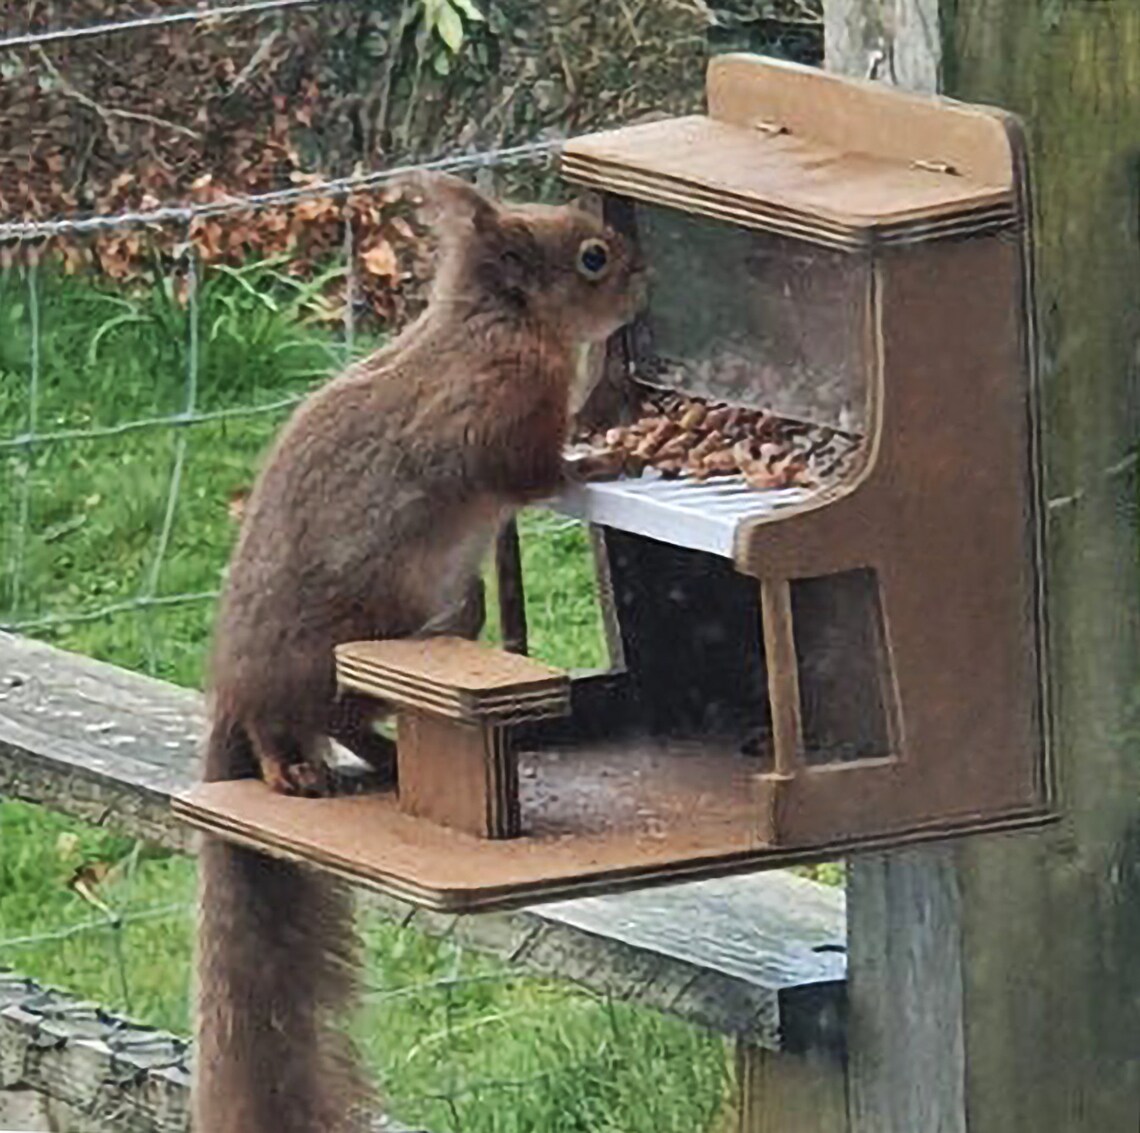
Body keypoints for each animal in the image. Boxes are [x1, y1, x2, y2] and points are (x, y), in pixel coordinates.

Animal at [192, 171, 645, 1133]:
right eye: (592, 258)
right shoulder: (497, 413)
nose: (642, 279)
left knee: (352, 721)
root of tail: (228, 686)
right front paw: (603, 456)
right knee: (286, 724)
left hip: (442, 615)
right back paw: (292, 769)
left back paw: (386, 758)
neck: (498, 324)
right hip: (335, 641)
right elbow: (529, 471)